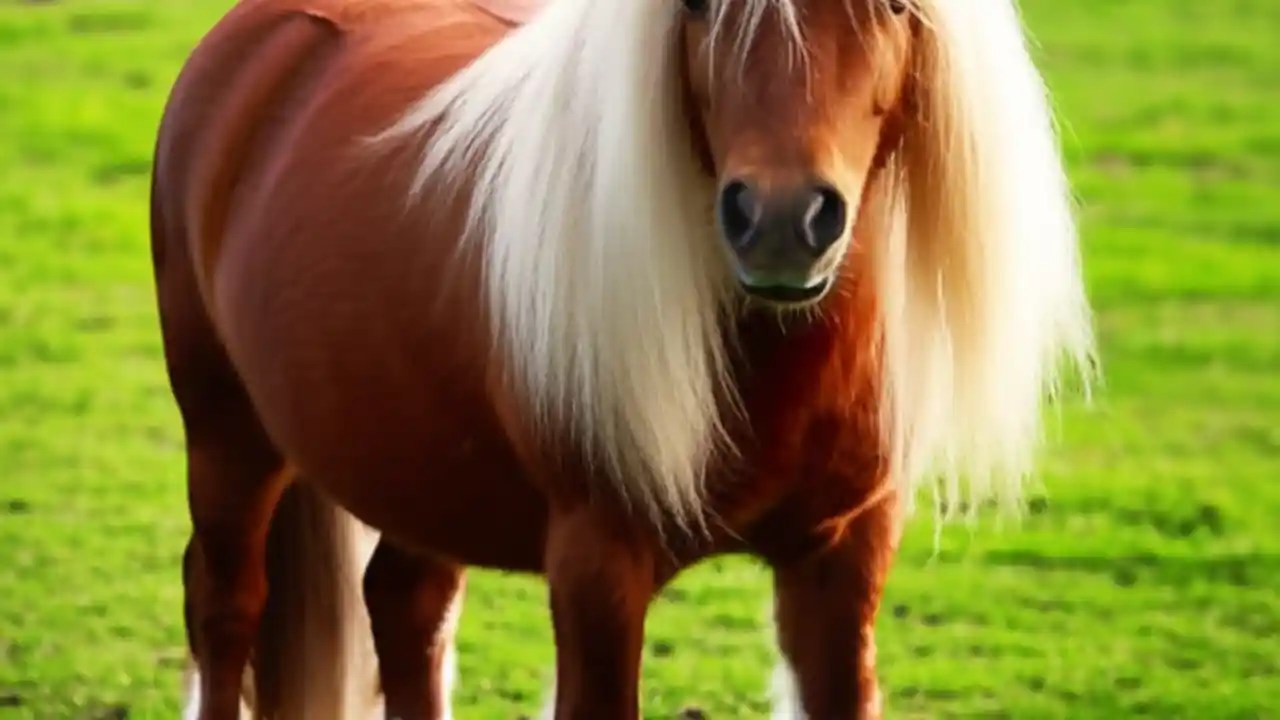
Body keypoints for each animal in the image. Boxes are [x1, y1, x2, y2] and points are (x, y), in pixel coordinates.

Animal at [150, 0, 1093, 717]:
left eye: (894, 7)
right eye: (700, 7)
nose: (782, 222)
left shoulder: (842, 558)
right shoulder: (598, 568)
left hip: (419, 470)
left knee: (405, 609)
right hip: (227, 434)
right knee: (225, 606)